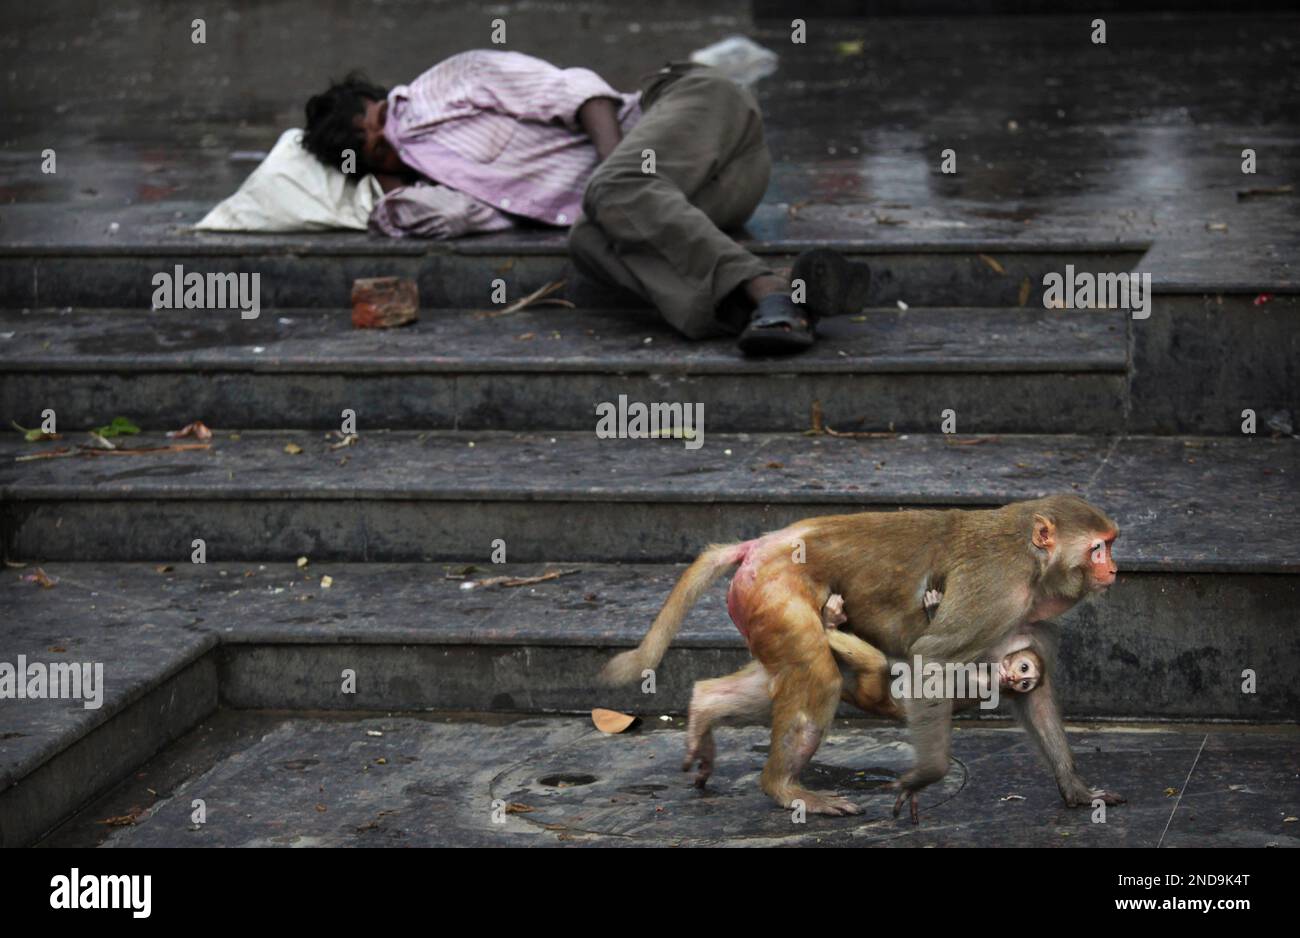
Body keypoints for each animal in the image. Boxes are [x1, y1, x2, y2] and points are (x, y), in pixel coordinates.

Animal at [599, 494, 1123, 819]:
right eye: (1099, 548)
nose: (1115, 569)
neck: (1032, 568)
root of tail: (761, 543)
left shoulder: (1034, 627)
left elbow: (1035, 695)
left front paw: (1077, 790)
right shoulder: (995, 592)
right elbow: (932, 659)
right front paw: (923, 778)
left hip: (759, 610)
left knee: (784, 678)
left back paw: (705, 707)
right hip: (777, 591)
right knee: (819, 680)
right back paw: (783, 789)